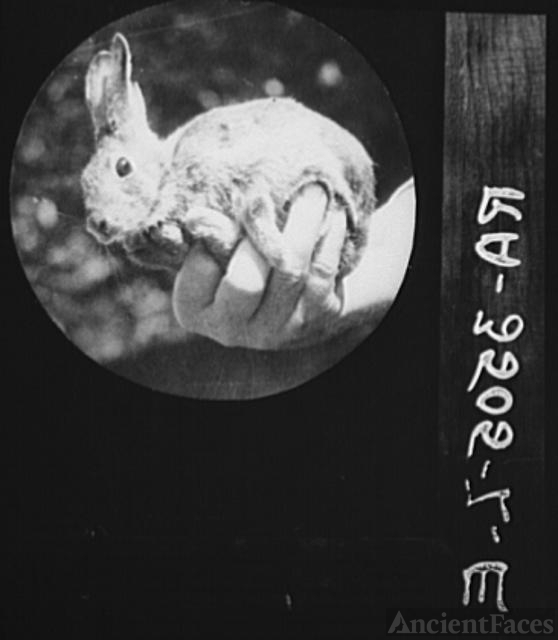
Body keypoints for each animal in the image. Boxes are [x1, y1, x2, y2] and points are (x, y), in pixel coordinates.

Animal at [81, 33, 377, 280]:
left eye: (123, 166)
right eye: (84, 181)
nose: (98, 225)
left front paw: (283, 258)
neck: (166, 172)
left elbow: (254, 204)